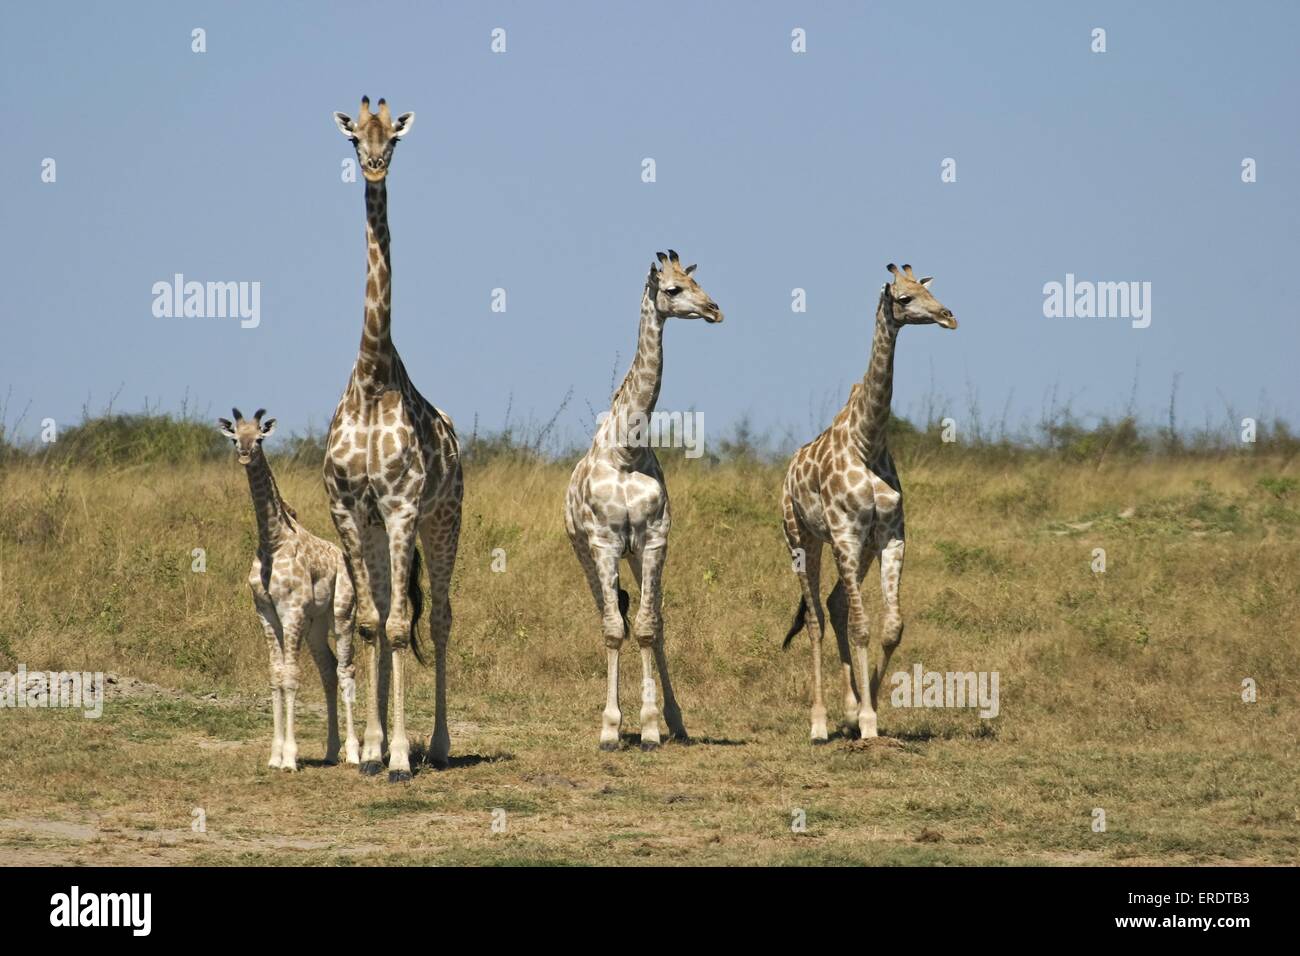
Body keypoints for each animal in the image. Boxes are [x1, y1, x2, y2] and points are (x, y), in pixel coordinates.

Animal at [217, 408, 359, 771]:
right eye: (236, 437)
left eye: (260, 438)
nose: (245, 453)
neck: (273, 541)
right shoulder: (266, 613)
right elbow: (276, 676)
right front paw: (274, 755)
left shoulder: (292, 612)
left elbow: (292, 676)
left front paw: (290, 758)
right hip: (315, 625)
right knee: (328, 670)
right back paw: (331, 750)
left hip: (342, 613)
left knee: (346, 670)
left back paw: (354, 752)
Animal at [565, 250, 723, 751]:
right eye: (672, 289)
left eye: (697, 281)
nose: (714, 310)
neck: (626, 449)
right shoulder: (604, 543)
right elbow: (615, 630)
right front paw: (610, 729)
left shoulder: (654, 539)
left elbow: (650, 628)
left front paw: (653, 726)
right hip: (586, 554)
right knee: (608, 614)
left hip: (634, 555)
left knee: (653, 621)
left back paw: (676, 722)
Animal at [781, 263, 957, 741]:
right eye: (903, 298)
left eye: (926, 290)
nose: (949, 316)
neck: (868, 440)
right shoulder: (844, 533)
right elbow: (861, 627)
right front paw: (868, 722)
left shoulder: (891, 536)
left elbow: (891, 626)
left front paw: (867, 707)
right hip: (803, 539)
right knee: (817, 621)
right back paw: (819, 722)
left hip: (857, 549)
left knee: (835, 604)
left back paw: (846, 709)